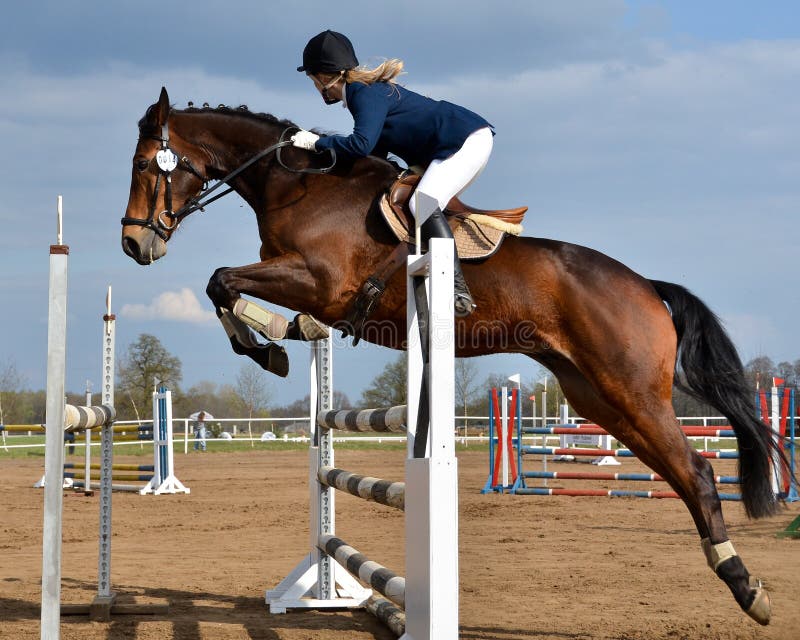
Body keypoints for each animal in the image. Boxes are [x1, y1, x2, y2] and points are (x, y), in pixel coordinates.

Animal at [121, 87, 787, 625]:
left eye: (143, 164)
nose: (133, 244)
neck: (297, 187)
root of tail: (647, 285)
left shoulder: (319, 280)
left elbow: (221, 280)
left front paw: (265, 349)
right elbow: (226, 286)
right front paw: (280, 340)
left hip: (632, 391)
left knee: (697, 473)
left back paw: (746, 588)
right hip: (599, 398)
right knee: (677, 472)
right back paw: (737, 578)